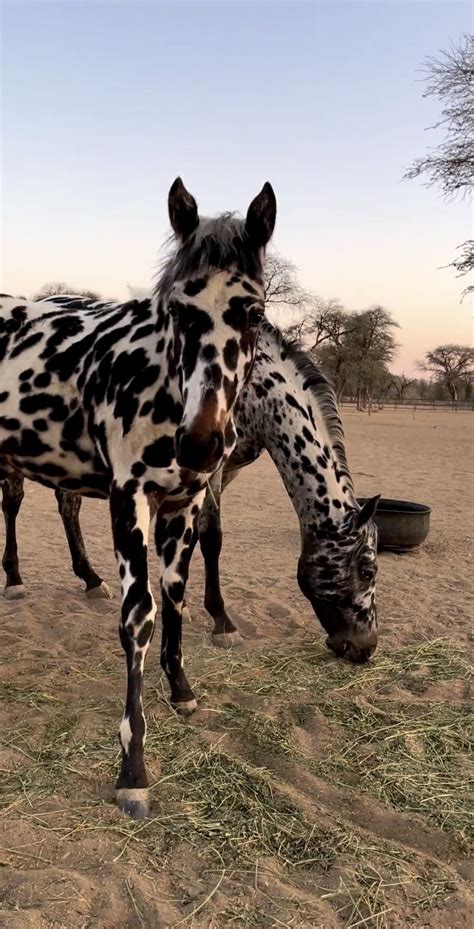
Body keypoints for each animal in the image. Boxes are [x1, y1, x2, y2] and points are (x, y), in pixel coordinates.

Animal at [0, 177, 277, 818]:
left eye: (253, 311)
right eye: (177, 308)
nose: (200, 441)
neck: (153, 379)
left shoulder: (185, 503)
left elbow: (174, 595)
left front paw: (181, 688)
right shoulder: (130, 502)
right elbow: (139, 617)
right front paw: (134, 768)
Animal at [2, 321, 379, 668]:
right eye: (367, 571)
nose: (365, 647)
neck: (250, 387)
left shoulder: (223, 471)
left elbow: (193, 536)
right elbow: (212, 538)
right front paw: (223, 622)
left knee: (68, 505)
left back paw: (91, 579)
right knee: (13, 502)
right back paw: (15, 580)